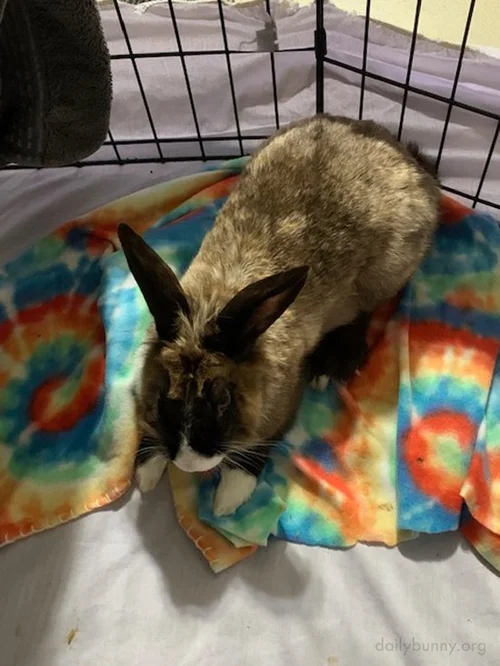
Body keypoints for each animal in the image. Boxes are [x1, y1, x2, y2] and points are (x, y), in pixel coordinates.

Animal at [119, 114, 440, 517]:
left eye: (223, 401)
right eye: (163, 397)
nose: (190, 463)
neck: (211, 305)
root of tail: (412, 162)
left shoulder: (283, 404)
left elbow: (261, 444)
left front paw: (229, 498)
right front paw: (147, 472)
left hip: (382, 275)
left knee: (367, 312)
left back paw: (333, 363)